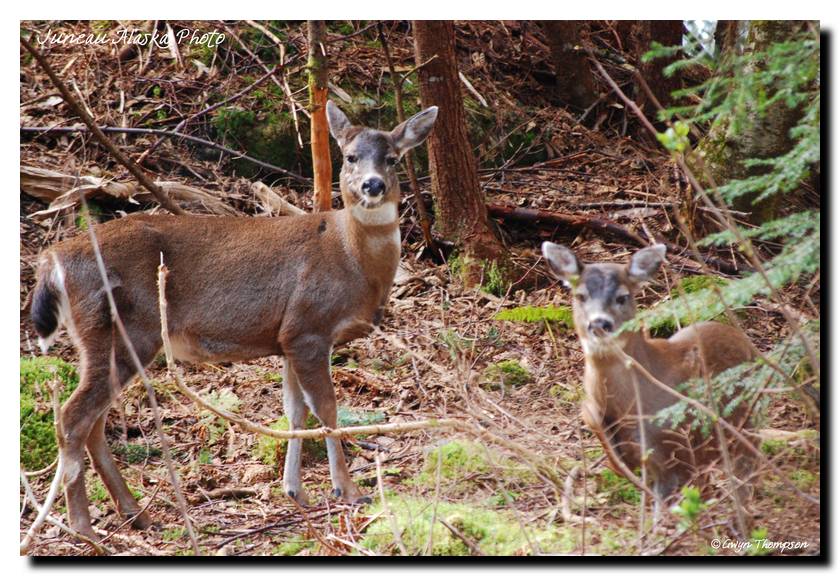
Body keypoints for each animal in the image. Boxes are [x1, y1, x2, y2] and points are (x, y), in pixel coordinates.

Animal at [30, 101, 438, 540]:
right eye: (350, 157)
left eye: (393, 158)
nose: (372, 186)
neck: (352, 258)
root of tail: (53, 260)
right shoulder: (309, 326)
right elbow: (327, 409)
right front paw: (348, 490)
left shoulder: (288, 337)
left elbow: (294, 411)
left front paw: (295, 491)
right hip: (122, 330)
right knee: (74, 417)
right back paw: (84, 528)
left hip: (105, 339)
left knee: (94, 421)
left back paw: (137, 514)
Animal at [541, 242, 756, 518]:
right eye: (580, 296)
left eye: (623, 297)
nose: (599, 323)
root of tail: (746, 342)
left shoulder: (675, 453)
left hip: (744, 424)